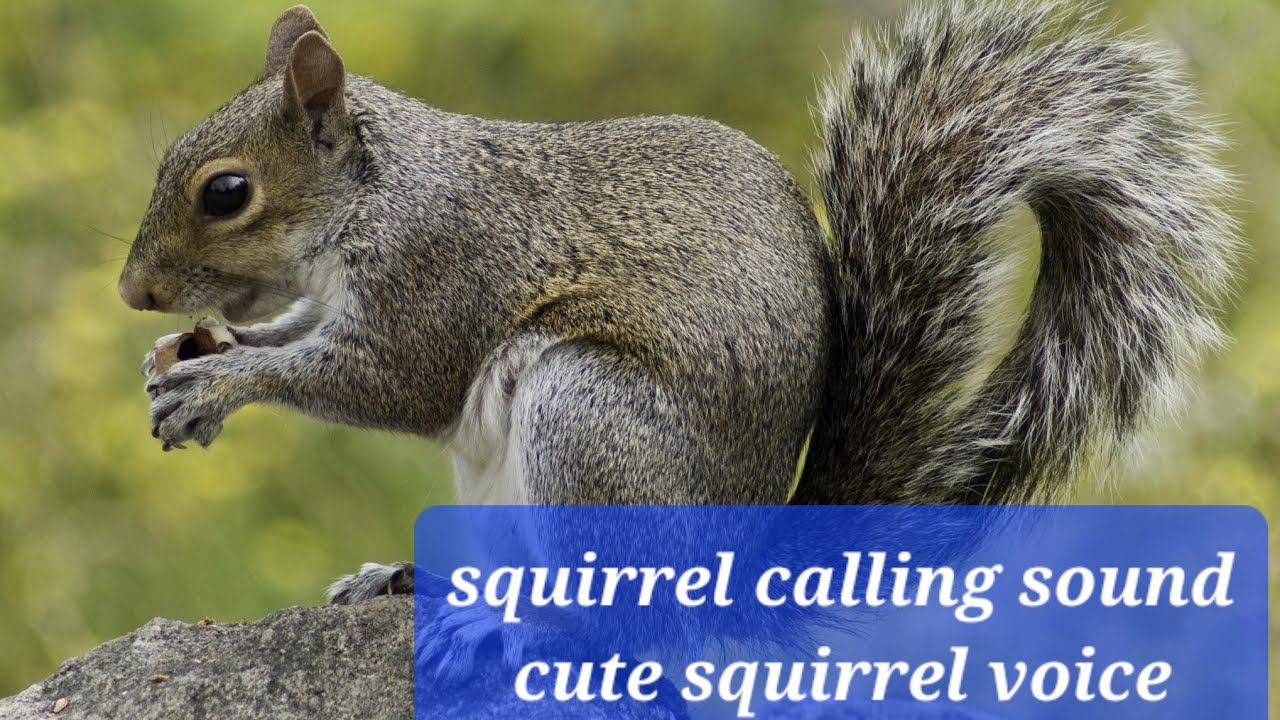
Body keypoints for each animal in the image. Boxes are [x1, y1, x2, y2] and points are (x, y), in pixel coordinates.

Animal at [119, 1, 1237, 608]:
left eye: (226, 192)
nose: (134, 291)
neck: (378, 192)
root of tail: (736, 574)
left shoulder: (441, 273)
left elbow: (386, 379)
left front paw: (218, 383)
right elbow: (305, 336)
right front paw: (187, 356)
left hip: (589, 417)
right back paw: (411, 583)